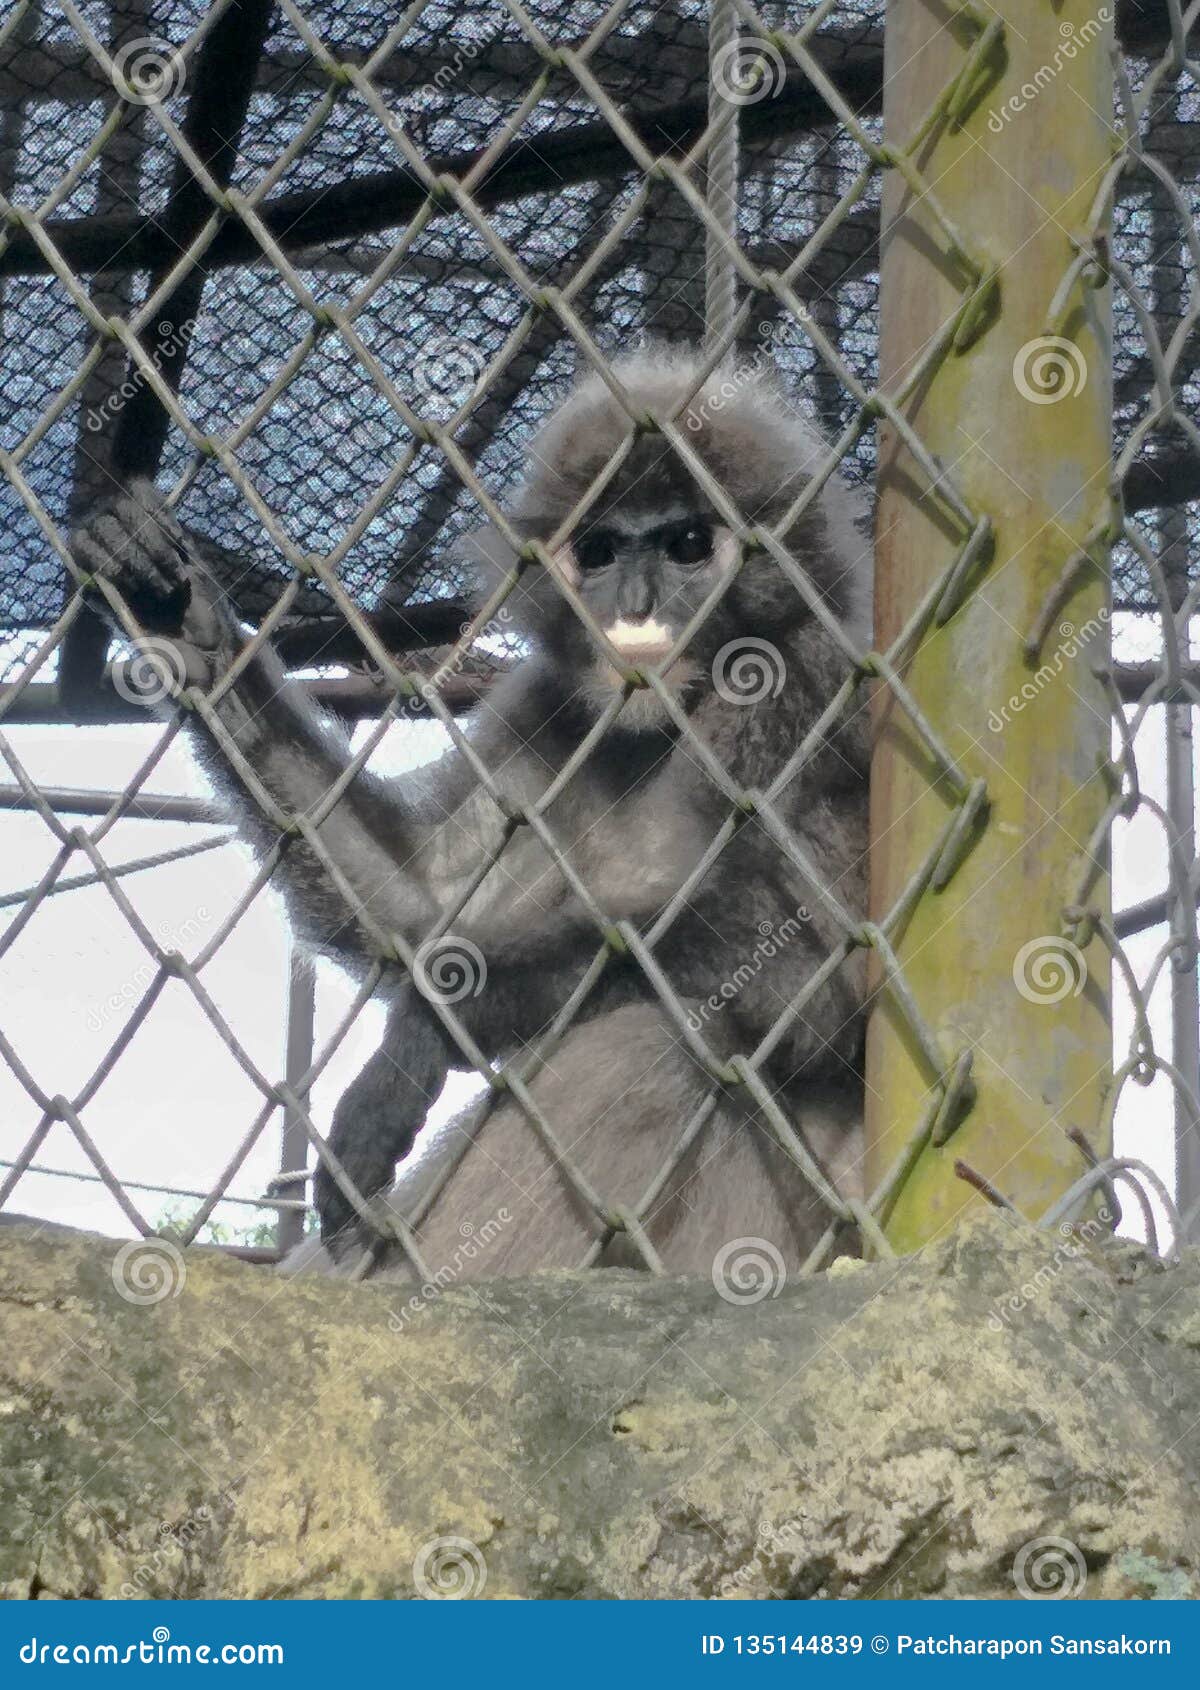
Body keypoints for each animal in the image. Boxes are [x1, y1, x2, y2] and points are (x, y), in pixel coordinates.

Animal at [72, 345, 872, 1280]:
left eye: (685, 545)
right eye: (599, 550)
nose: (634, 603)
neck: (667, 723)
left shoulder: (799, 687)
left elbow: (820, 980)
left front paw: (425, 1030)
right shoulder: (549, 711)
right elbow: (426, 903)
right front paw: (186, 627)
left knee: (651, 1043)